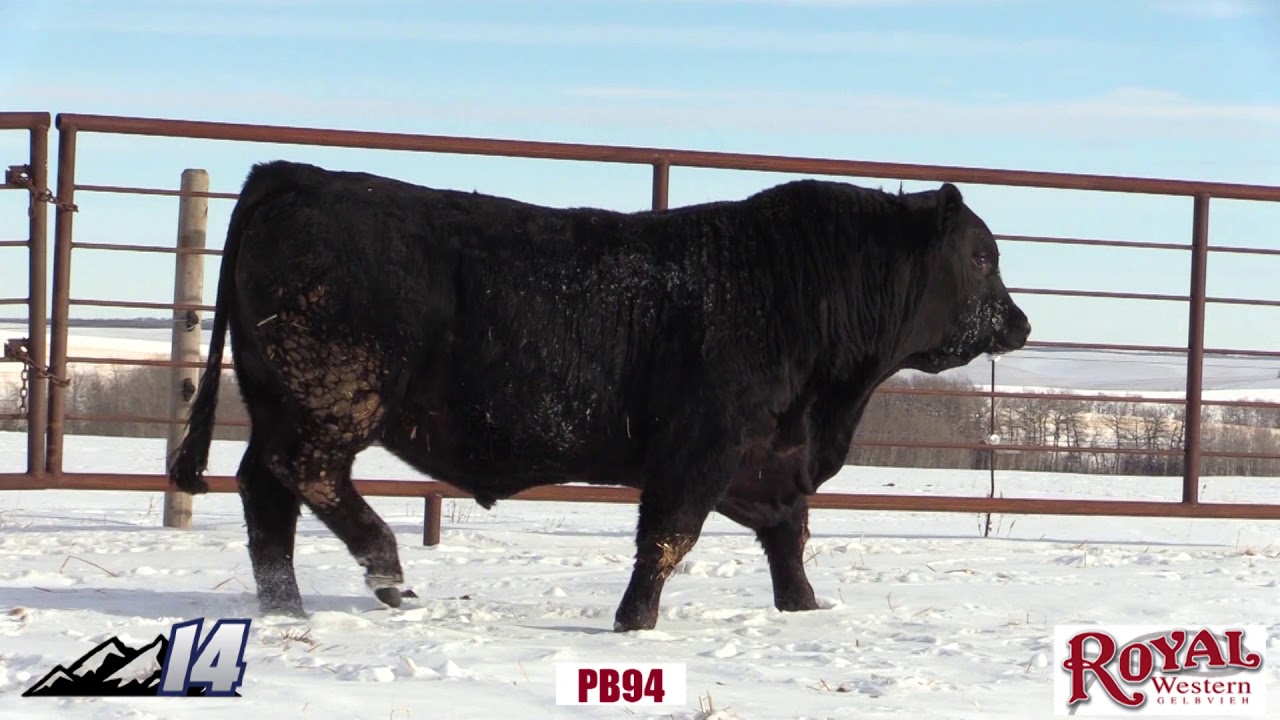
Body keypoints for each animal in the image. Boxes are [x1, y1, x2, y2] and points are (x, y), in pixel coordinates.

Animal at [169, 160, 1030, 632]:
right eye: (982, 257)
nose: (1019, 321)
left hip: (280, 395)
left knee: (264, 492)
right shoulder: (701, 445)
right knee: (303, 471)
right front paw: (633, 622)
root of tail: (294, 176)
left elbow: (788, 534)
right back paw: (384, 569)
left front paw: (804, 608)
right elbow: (669, 537)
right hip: (336, 397)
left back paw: (286, 605)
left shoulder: (767, 456)